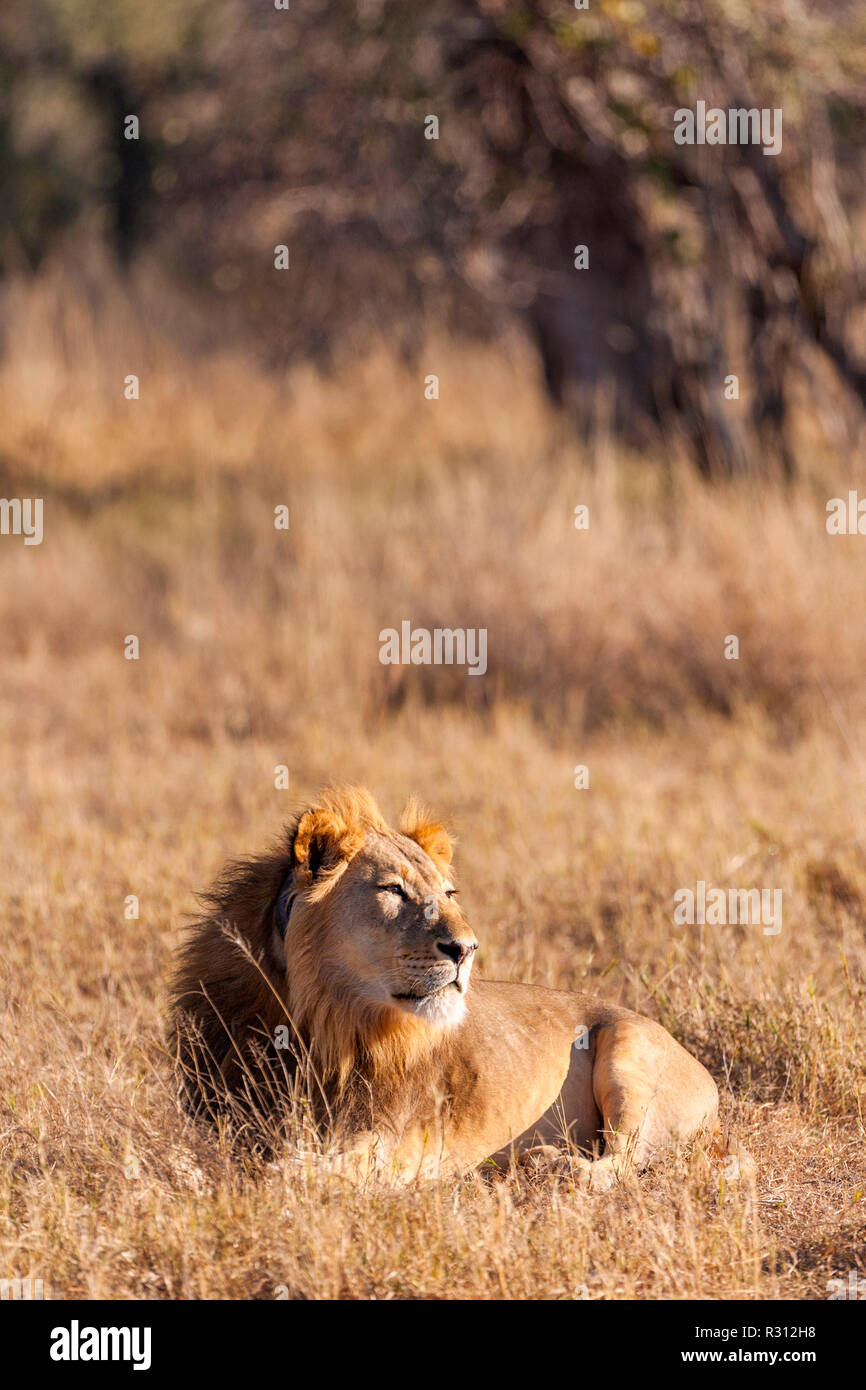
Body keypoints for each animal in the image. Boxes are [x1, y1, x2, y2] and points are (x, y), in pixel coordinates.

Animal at [169, 785, 723, 1187]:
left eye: (449, 893)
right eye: (393, 890)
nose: (467, 949)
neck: (316, 1019)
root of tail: (707, 1074)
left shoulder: (394, 1141)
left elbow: (298, 1172)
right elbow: (186, 1158)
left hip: (629, 1052)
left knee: (624, 1160)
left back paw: (553, 1164)